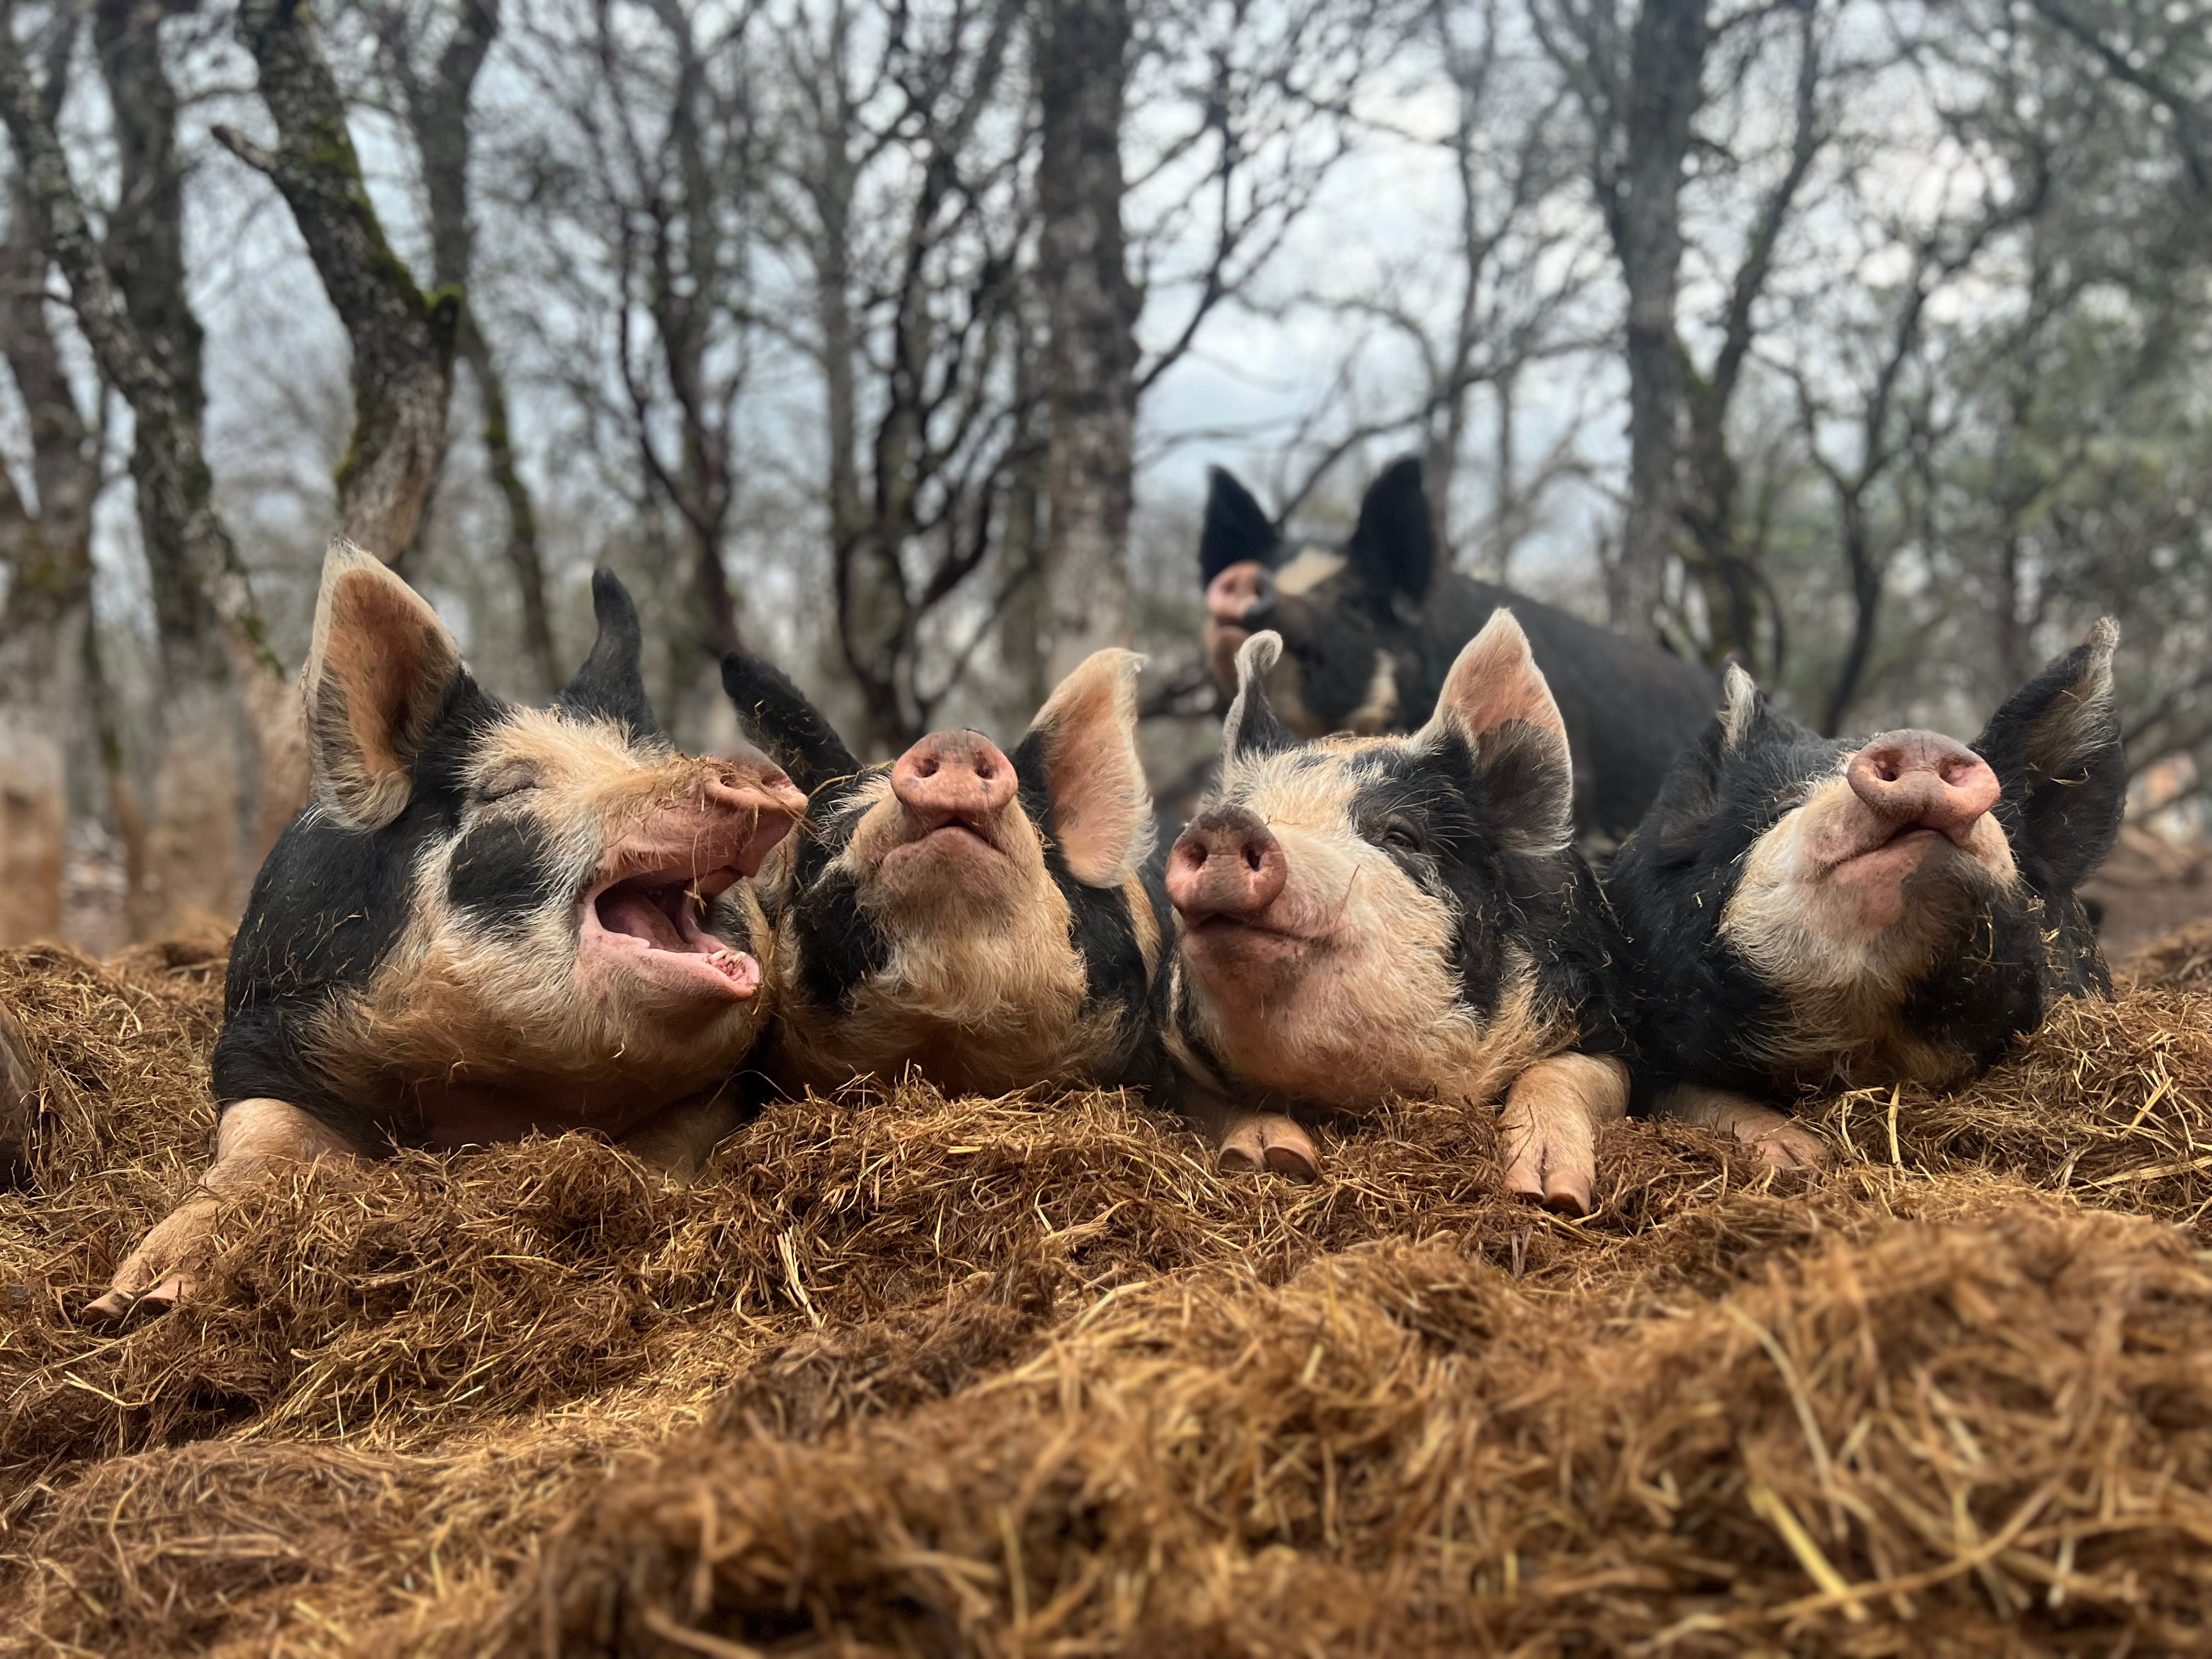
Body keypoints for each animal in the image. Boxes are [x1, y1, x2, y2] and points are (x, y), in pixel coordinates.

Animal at [85, 544, 806, 1323]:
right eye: (510, 786)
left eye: (646, 761)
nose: (752, 775)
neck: (496, 1091)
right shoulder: (259, 1038)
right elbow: (257, 1143)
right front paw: (132, 1301)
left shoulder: (730, 1077)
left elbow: (670, 1143)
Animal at [1163, 614, 1634, 1210]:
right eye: (1246, 811)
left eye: (1399, 836)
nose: (1226, 824)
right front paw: (1276, 1159)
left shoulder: (1611, 1025)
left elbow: (1569, 1071)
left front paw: (1551, 1194)